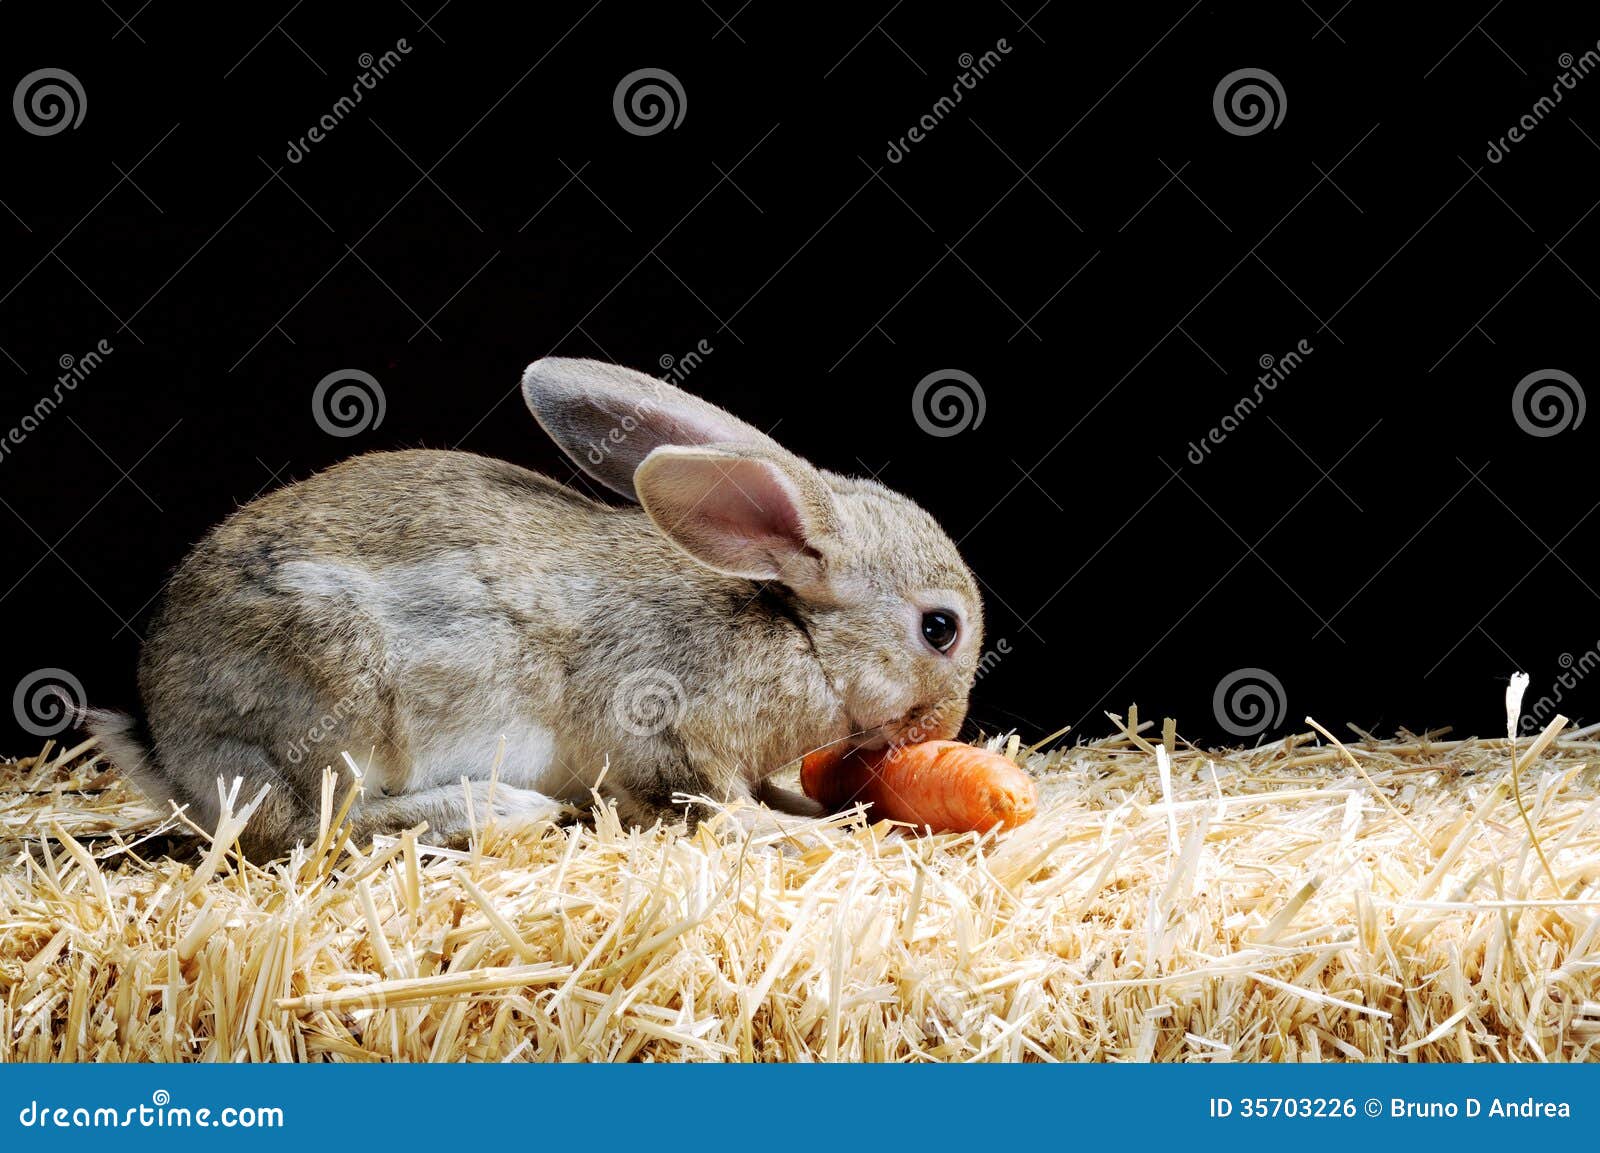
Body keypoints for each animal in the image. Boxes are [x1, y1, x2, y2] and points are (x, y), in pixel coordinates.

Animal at [88, 357, 985, 860]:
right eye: (939, 628)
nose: (944, 725)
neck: (796, 631)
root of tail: (171, 750)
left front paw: (815, 809)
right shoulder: (668, 742)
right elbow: (718, 809)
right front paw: (820, 832)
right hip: (330, 706)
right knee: (312, 826)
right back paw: (496, 809)